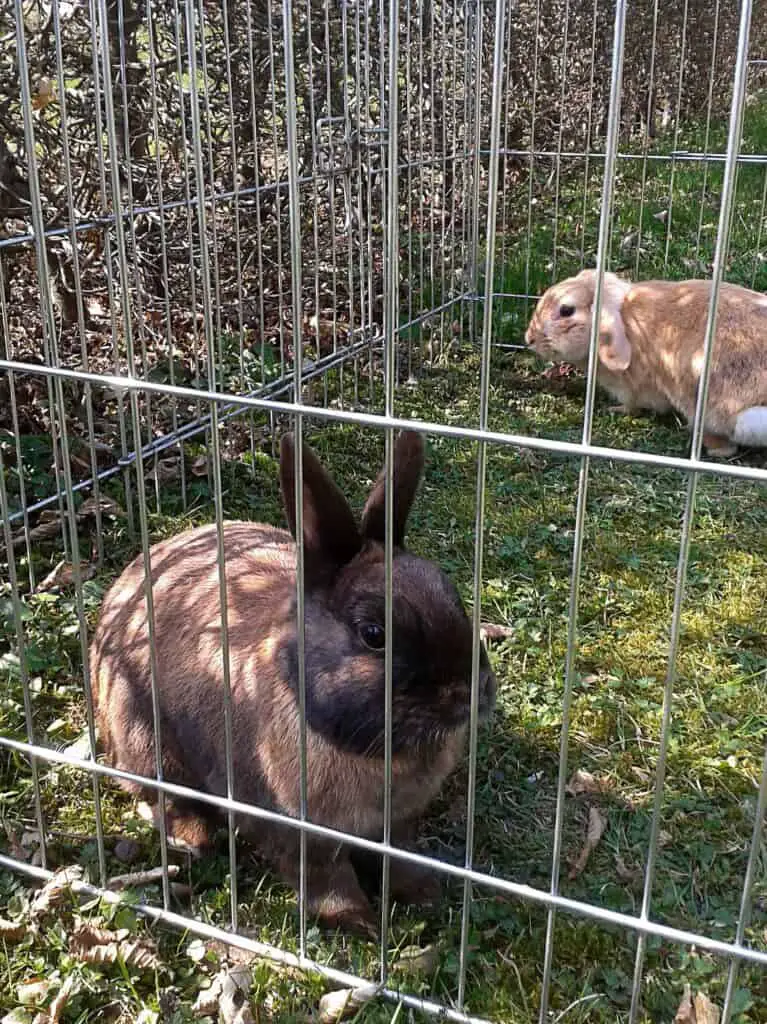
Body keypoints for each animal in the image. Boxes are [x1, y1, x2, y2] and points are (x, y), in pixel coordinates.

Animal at [90, 429, 497, 937]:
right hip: (145, 739)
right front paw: (358, 922)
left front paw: (422, 894)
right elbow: (324, 878)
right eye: (373, 634)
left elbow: (399, 860)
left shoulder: (398, 826)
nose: (472, 694)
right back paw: (194, 840)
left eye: (453, 596)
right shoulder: (294, 829)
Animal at [525, 268, 767, 457]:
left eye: (566, 310)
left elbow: (632, 404)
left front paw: (616, 409)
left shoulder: (633, 387)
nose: (529, 339)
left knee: (724, 445)